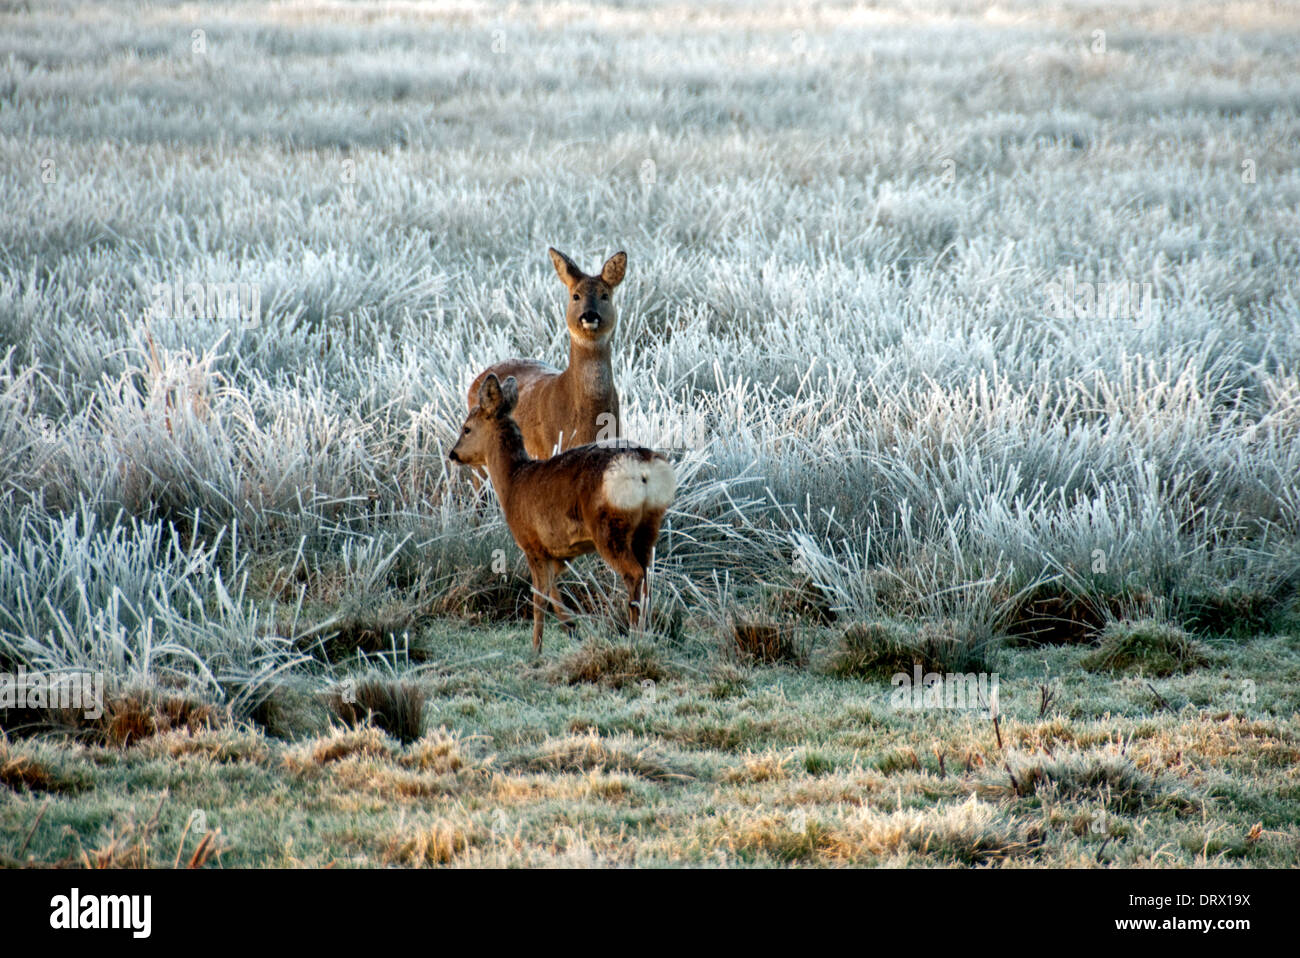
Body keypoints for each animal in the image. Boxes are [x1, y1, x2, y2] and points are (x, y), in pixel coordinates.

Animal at [448, 373, 674, 655]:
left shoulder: (531, 542)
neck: (513, 482)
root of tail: (645, 469)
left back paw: (635, 639)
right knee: (647, 577)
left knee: (633, 574)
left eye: (466, 428)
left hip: (610, 528)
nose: (453, 454)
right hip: (649, 526)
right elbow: (552, 589)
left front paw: (536, 649)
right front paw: (571, 627)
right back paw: (646, 636)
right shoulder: (560, 551)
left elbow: (538, 598)